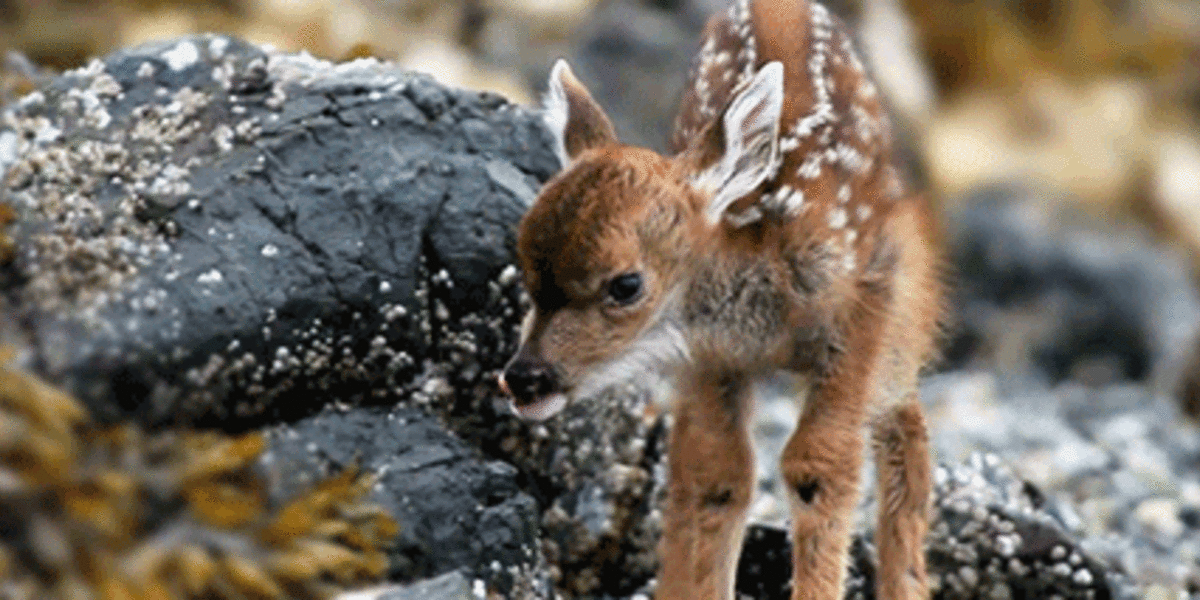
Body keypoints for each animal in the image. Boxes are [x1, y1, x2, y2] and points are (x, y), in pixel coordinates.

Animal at [497, 0, 946, 598]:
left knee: (906, 434)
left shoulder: (867, 305)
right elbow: (718, 475)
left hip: (906, 314)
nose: (525, 378)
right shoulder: (710, 356)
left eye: (626, 284)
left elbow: (819, 467)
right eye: (524, 267)